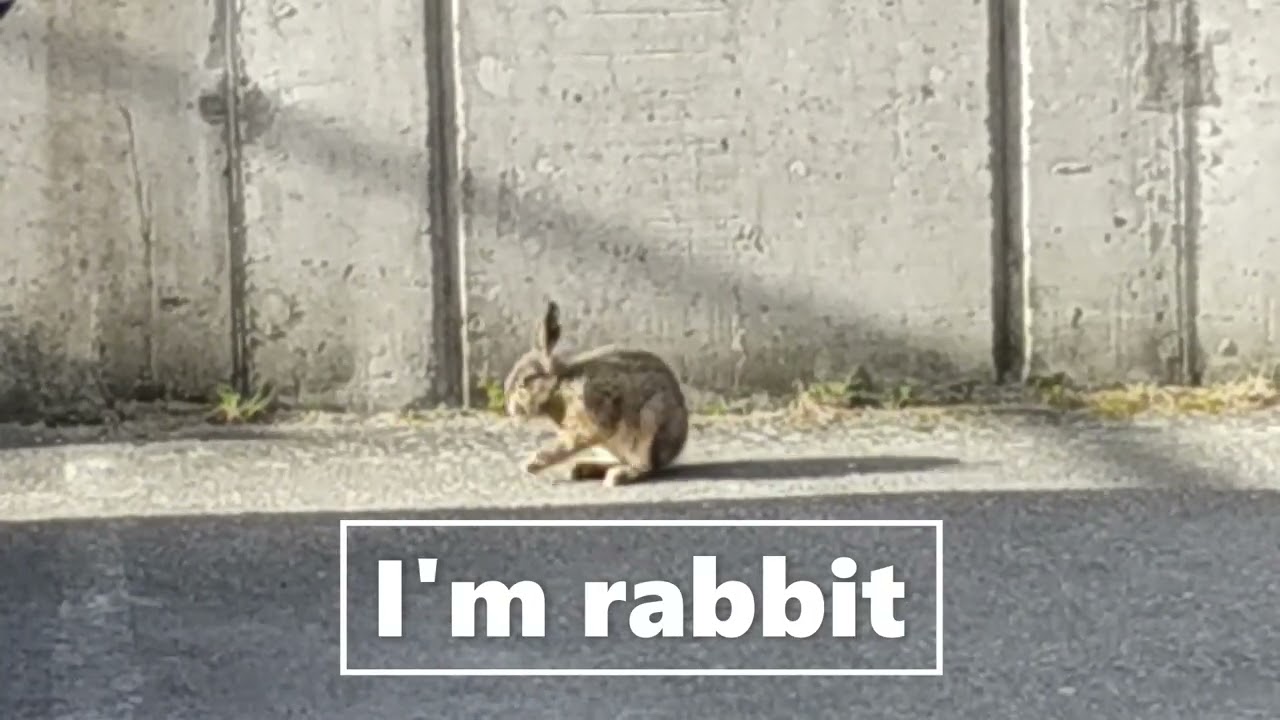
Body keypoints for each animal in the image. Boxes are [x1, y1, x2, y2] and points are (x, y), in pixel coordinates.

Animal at [501, 300, 689, 486]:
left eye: (527, 380)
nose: (511, 410)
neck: (558, 386)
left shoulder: (590, 420)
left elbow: (567, 445)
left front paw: (530, 464)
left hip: (649, 424)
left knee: (645, 465)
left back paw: (618, 476)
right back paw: (581, 468)